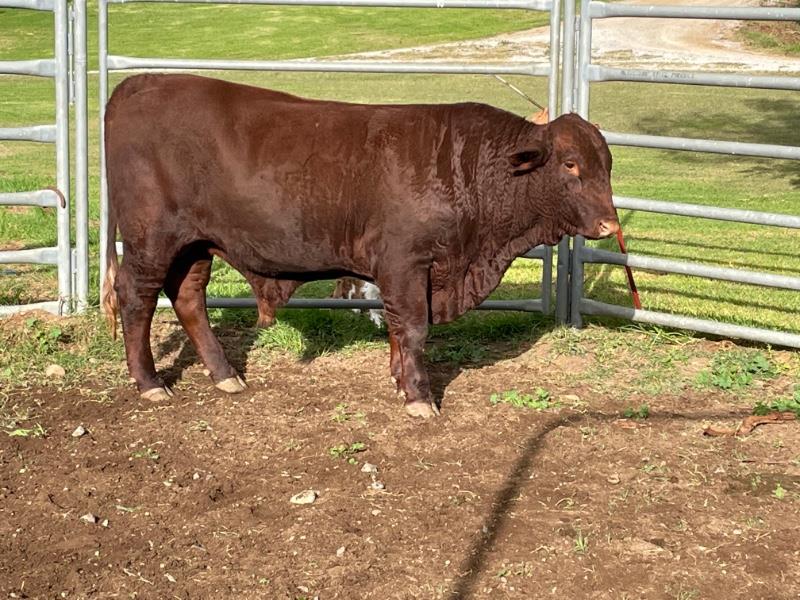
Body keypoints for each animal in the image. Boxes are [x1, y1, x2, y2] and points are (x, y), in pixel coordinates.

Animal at [102, 74, 618, 418]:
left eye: (607, 162)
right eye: (570, 163)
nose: (610, 224)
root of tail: (141, 82)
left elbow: (397, 329)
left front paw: (399, 380)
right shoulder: (405, 263)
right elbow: (413, 328)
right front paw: (419, 397)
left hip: (195, 243)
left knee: (188, 297)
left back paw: (226, 375)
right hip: (151, 239)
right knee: (136, 298)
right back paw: (149, 382)